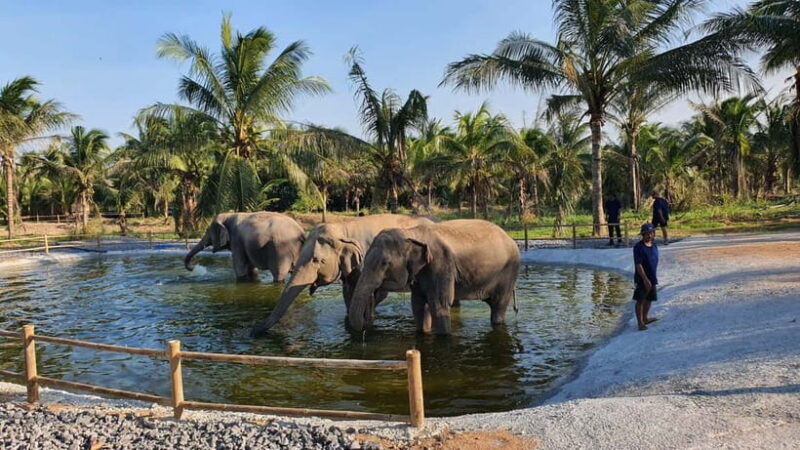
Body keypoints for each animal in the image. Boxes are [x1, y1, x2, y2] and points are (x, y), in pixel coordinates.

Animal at [250, 214, 434, 336]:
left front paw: (366, 324)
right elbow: (349, 292)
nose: (252, 330)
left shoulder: (366, 261)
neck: (342, 228)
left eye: (316, 260)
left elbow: (369, 296)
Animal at [348, 219, 520, 335]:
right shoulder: (420, 272)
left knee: (498, 306)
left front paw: (443, 336)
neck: (410, 232)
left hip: (508, 272)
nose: (365, 329)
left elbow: (438, 304)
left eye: (384, 263)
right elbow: (418, 304)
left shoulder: (441, 264)